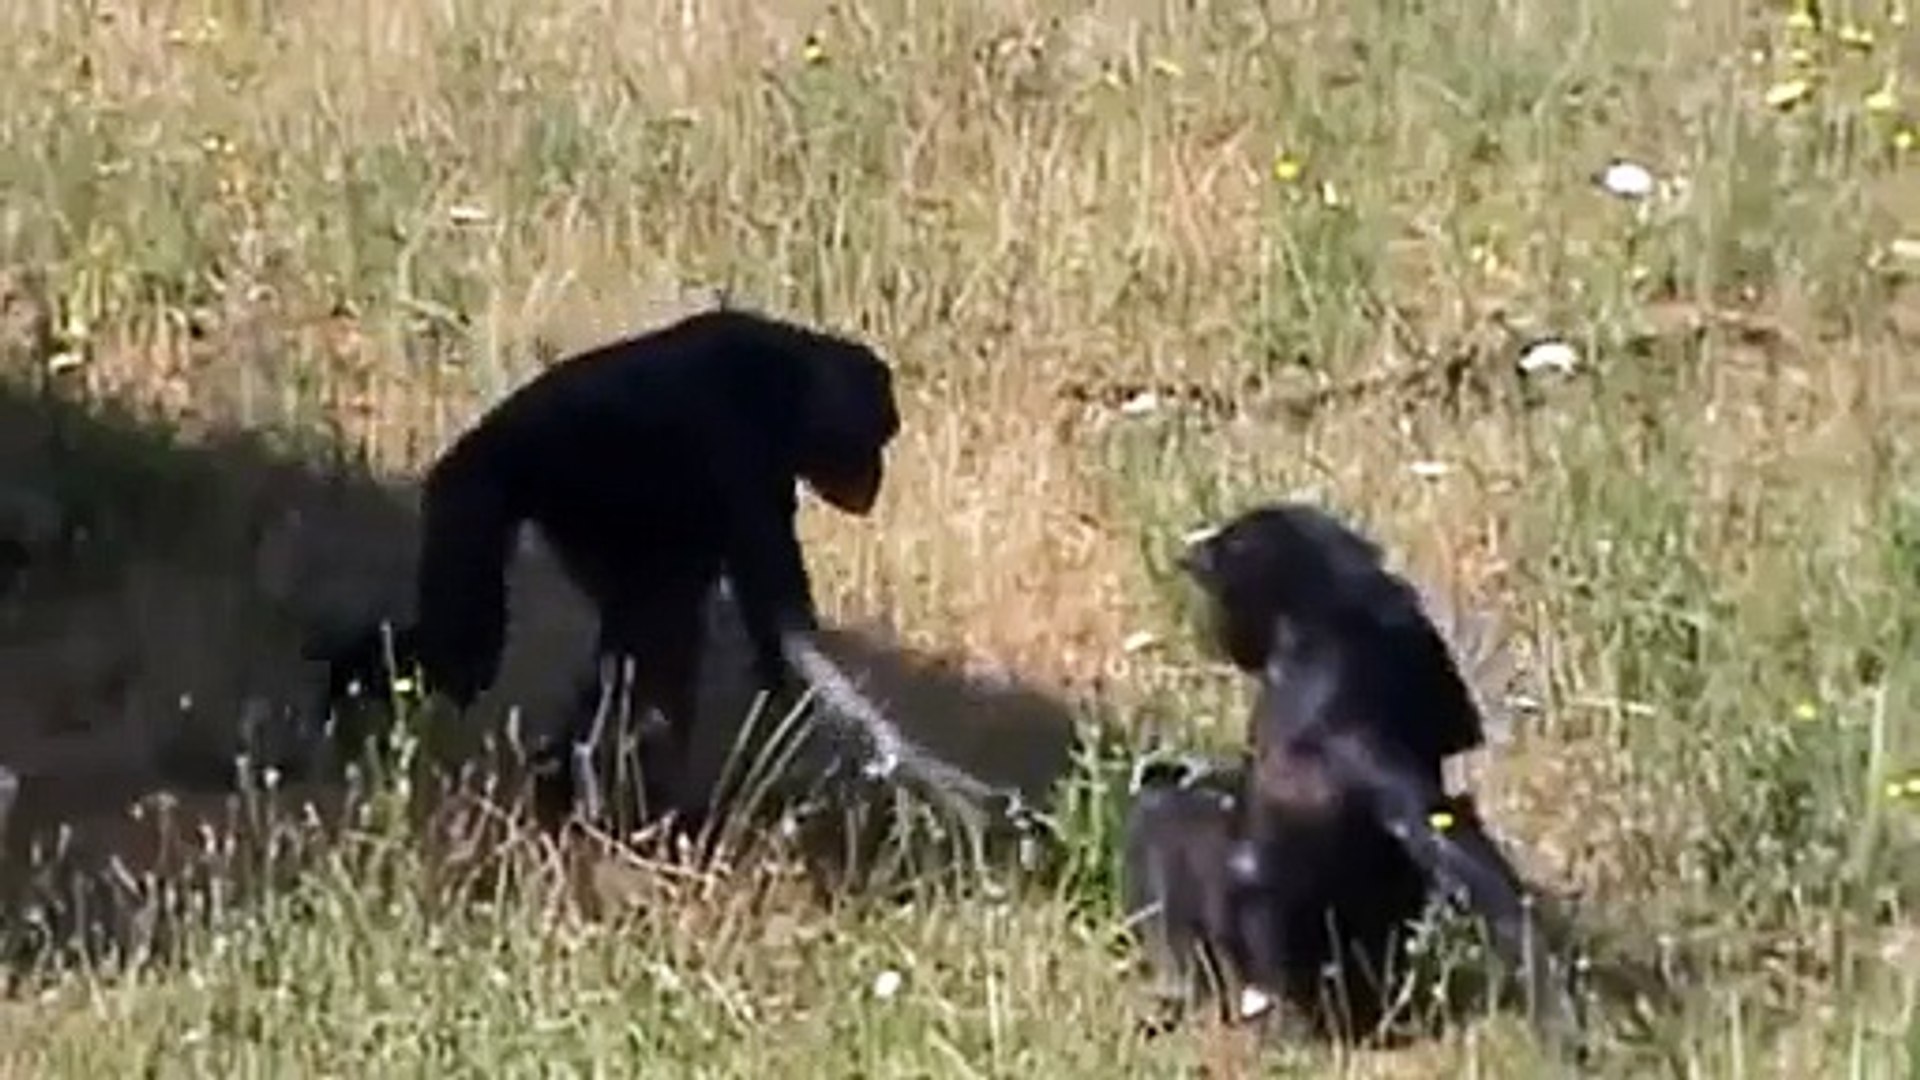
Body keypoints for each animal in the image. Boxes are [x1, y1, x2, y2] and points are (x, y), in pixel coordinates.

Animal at [310, 307, 901, 836]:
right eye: (877, 435)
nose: (877, 478)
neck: (790, 381)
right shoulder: (740, 441)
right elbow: (772, 606)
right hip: (472, 496)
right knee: (465, 652)